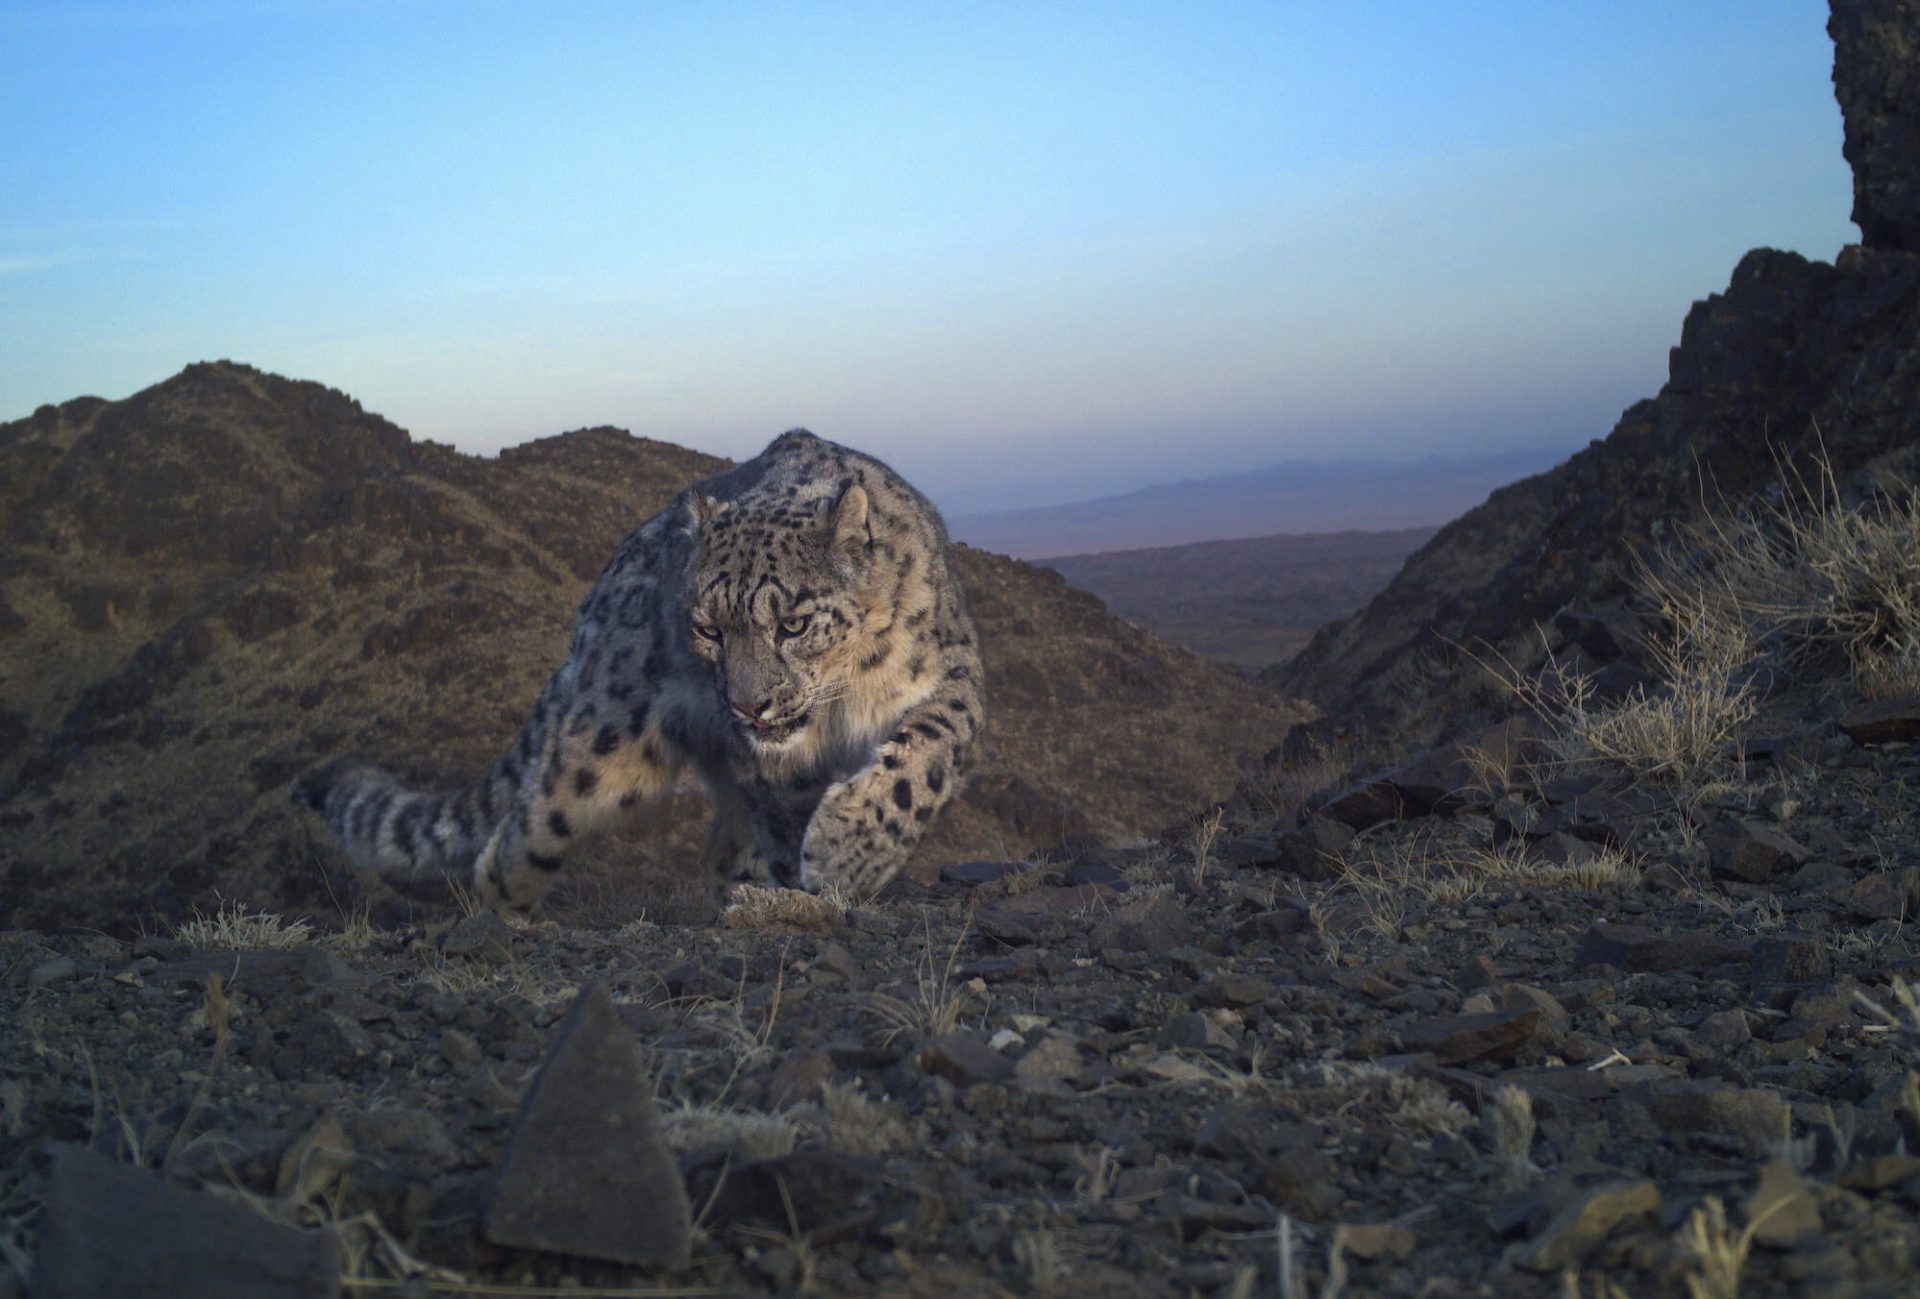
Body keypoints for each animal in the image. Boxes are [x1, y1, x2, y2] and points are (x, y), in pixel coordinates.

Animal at [294, 428, 984, 915]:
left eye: (792, 625)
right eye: (708, 629)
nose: (748, 705)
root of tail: (596, 595)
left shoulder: (950, 672)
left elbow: (925, 755)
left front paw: (851, 850)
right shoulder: (773, 770)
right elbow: (787, 816)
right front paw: (819, 870)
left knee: (717, 849)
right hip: (598, 753)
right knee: (519, 838)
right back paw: (499, 925)